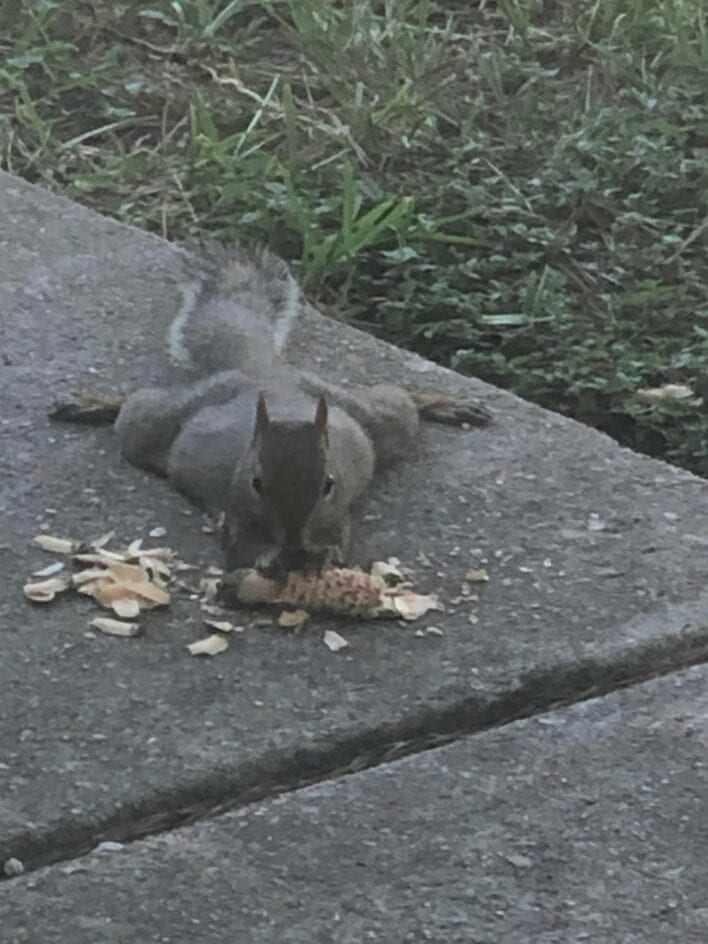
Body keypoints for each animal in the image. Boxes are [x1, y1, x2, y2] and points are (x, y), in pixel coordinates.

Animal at [56, 246, 491, 574]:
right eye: (256, 483)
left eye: (329, 484)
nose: (295, 543)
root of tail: (260, 369)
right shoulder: (233, 511)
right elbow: (240, 546)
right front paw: (266, 560)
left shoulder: (339, 508)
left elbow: (339, 539)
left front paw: (324, 558)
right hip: (153, 423)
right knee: (137, 405)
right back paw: (98, 405)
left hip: (376, 416)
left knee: (399, 400)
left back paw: (441, 402)